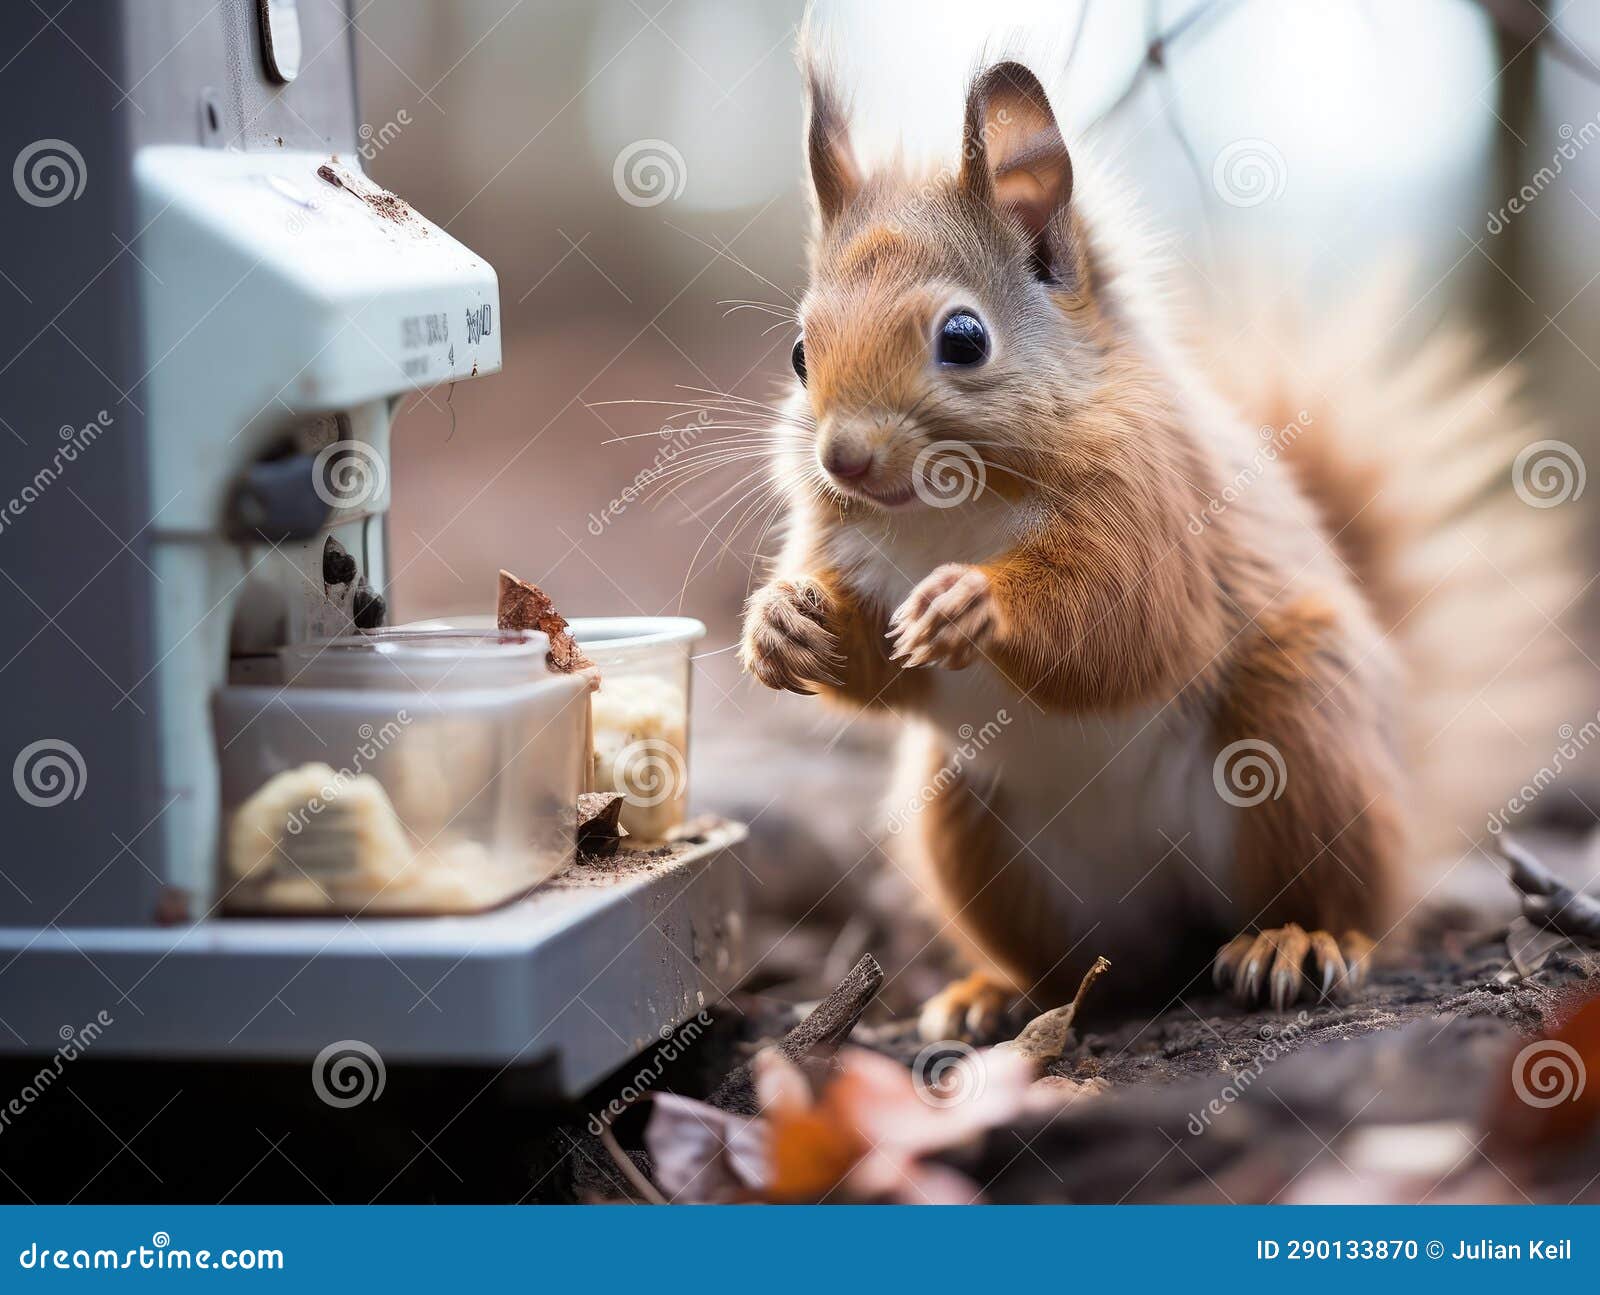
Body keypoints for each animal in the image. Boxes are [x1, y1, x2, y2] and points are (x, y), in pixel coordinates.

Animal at [739, 59, 1583, 1037]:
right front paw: (782, 625)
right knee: (1095, 972)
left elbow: (1129, 627)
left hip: (1301, 730)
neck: (948, 513)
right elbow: (883, 674)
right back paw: (998, 993)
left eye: (963, 337)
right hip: (971, 822)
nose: (843, 457)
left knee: (1342, 903)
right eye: (800, 353)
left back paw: (1296, 941)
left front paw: (975, 602)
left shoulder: (1161, 510)